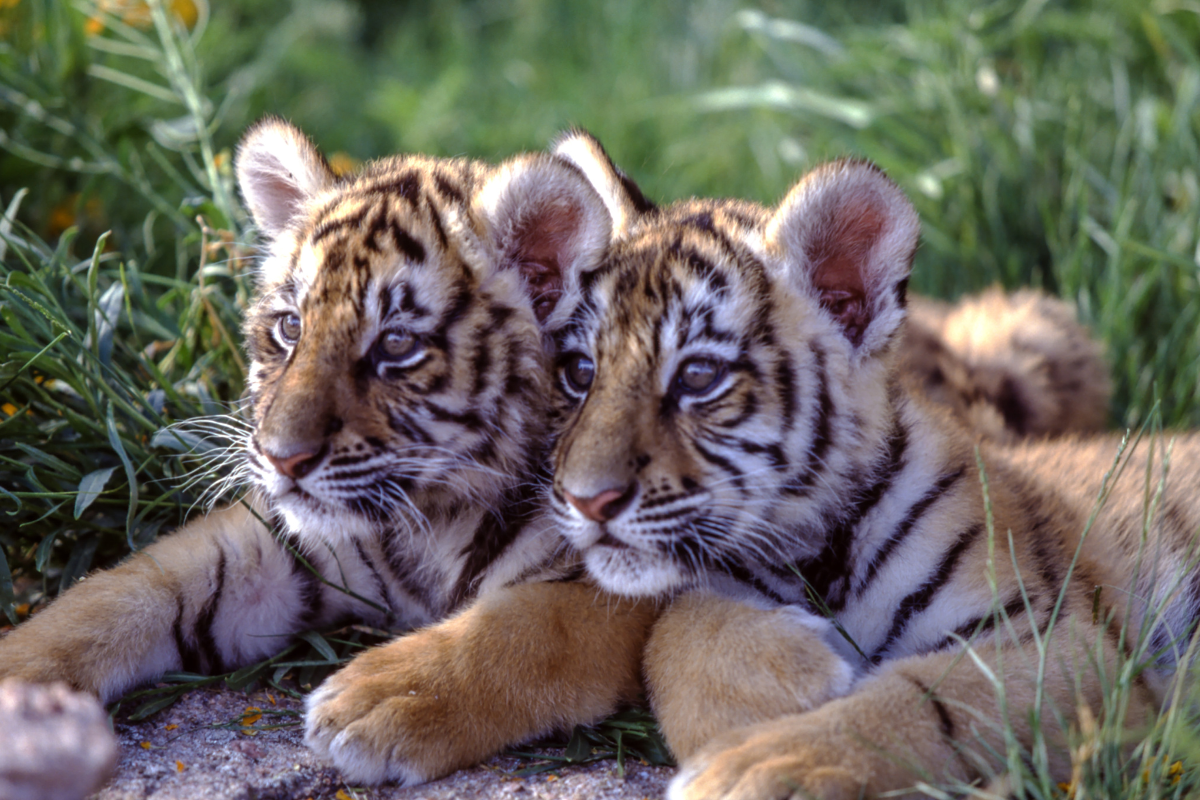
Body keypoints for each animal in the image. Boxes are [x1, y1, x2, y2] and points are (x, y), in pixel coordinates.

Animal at [538, 133, 1200, 798]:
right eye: (580, 371)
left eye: (698, 376)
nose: (586, 500)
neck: (812, 558)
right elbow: (670, 634)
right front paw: (786, 680)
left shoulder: (1063, 640)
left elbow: (929, 700)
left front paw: (753, 768)